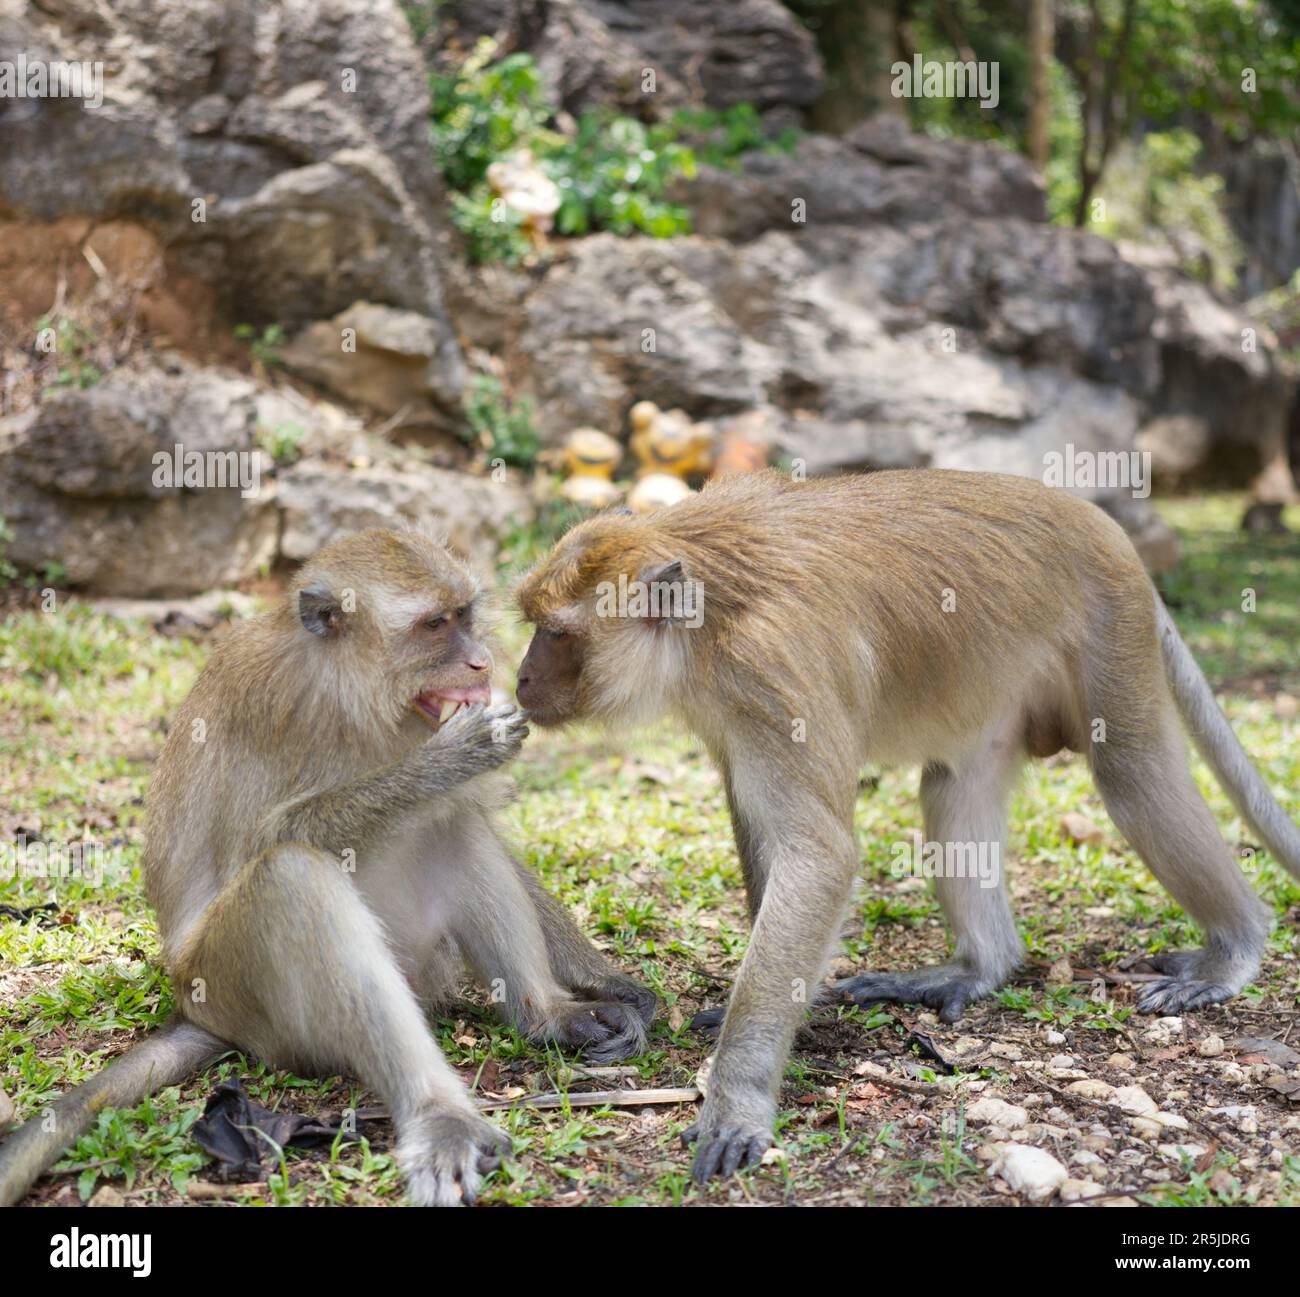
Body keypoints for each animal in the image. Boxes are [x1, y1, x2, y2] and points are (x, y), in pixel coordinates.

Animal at [0, 528, 655, 1208]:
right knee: (289, 877)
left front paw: (608, 981)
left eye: (464, 615)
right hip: (241, 992)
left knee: (449, 826)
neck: (346, 687)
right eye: (435, 625)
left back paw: (548, 1017)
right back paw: (440, 1116)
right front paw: (445, 760)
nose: (480, 663)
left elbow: (467, 816)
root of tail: (195, 1007)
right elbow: (262, 842)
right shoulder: (270, 705)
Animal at [514, 467, 1300, 1184]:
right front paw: (807, 1008)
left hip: (1112, 622)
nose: (520, 678)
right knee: (954, 784)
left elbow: (821, 855)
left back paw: (1233, 948)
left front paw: (738, 1098)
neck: (708, 612)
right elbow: (765, 824)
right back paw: (980, 966)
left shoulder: (768, 670)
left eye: (556, 634)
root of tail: (1102, 527)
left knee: (1134, 775)